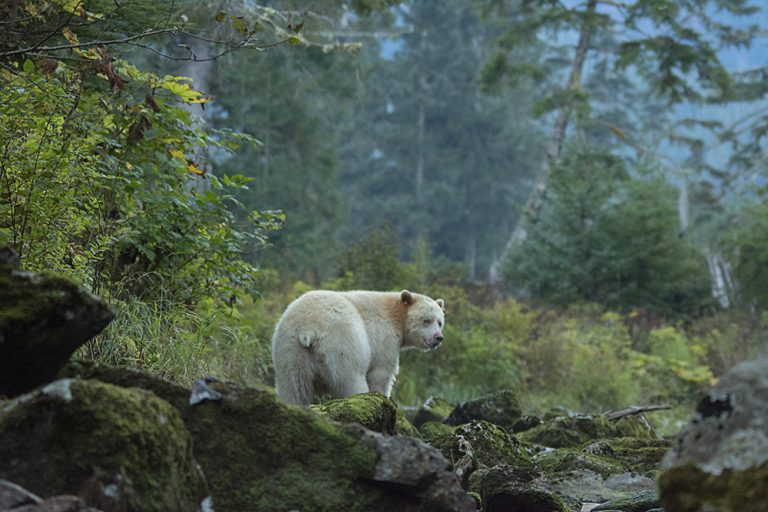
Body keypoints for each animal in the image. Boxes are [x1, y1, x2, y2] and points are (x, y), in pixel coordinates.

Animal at [271, 289, 445, 405]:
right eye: (426, 320)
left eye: (440, 322)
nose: (438, 337)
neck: (396, 315)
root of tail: (308, 329)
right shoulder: (385, 338)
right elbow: (381, 374)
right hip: (343, 341)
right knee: (351, 379)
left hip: (290, 349)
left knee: (295, 387)